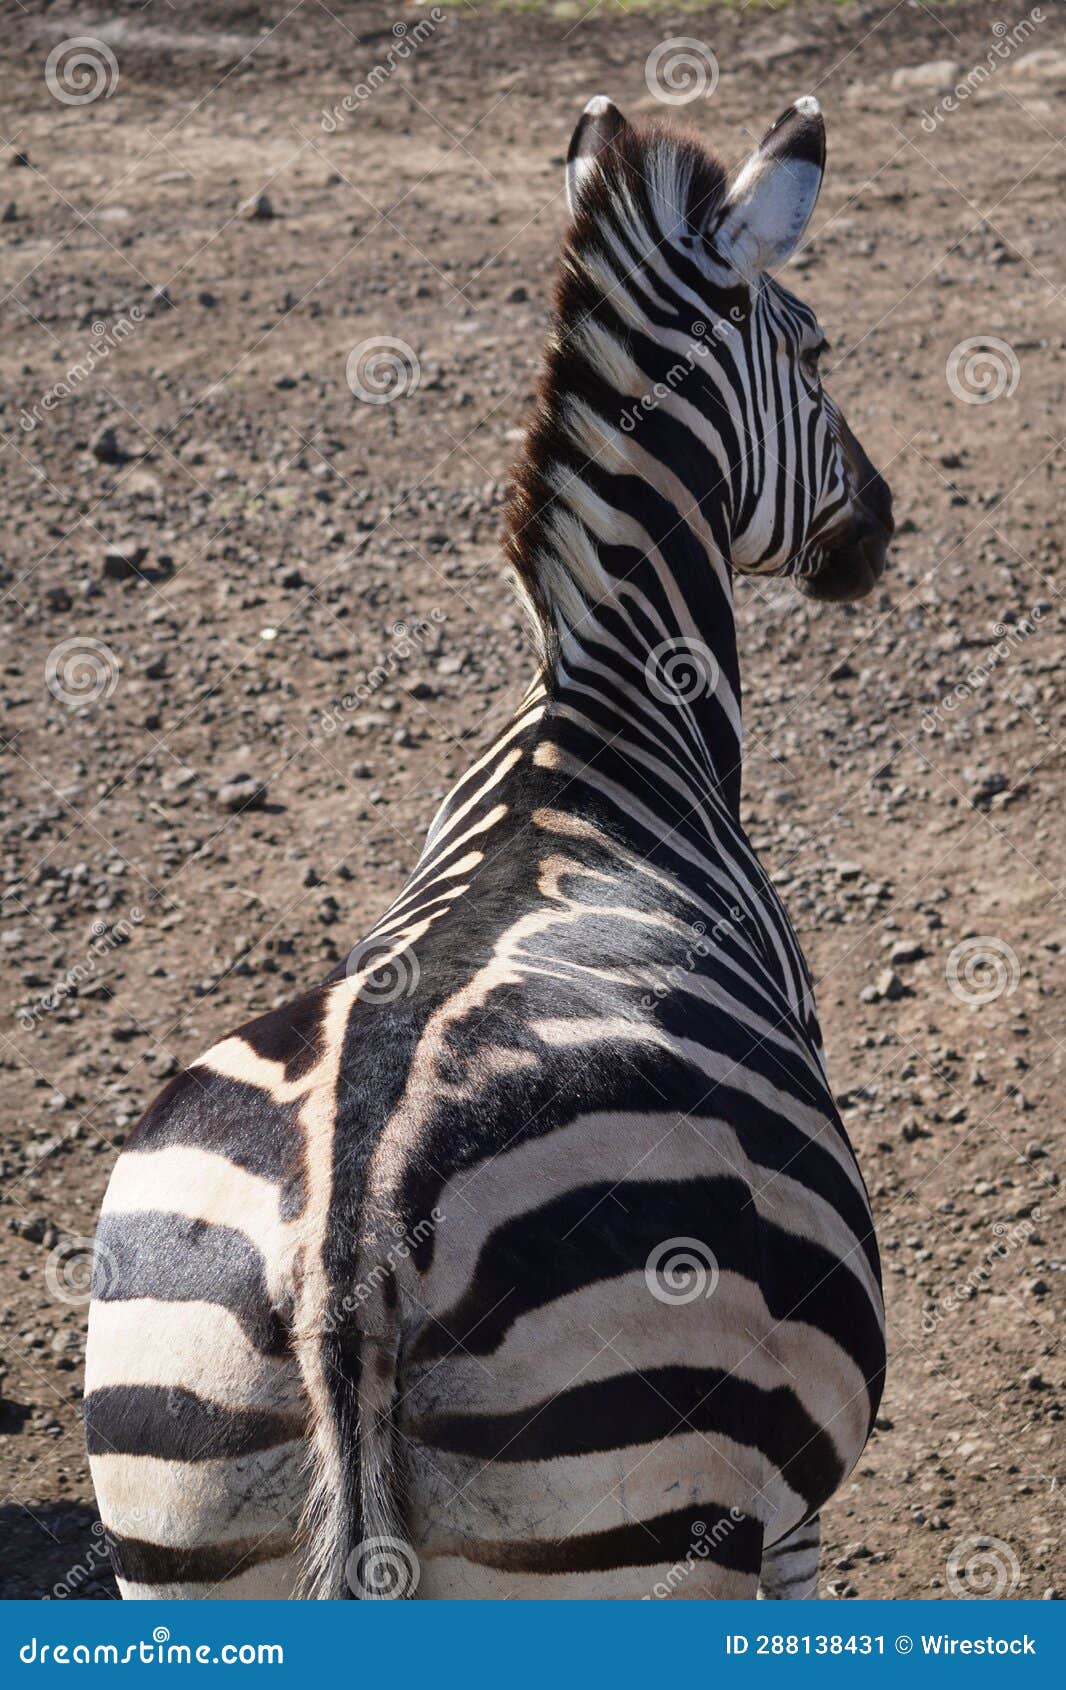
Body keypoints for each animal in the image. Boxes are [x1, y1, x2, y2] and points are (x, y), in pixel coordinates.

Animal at [85, 93, 893, 1601]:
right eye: (815, 353)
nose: (876, 526)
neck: (595, 712)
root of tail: (345, 1261)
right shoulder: (787, 1508)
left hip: (168, 1516)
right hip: (650, 1513)